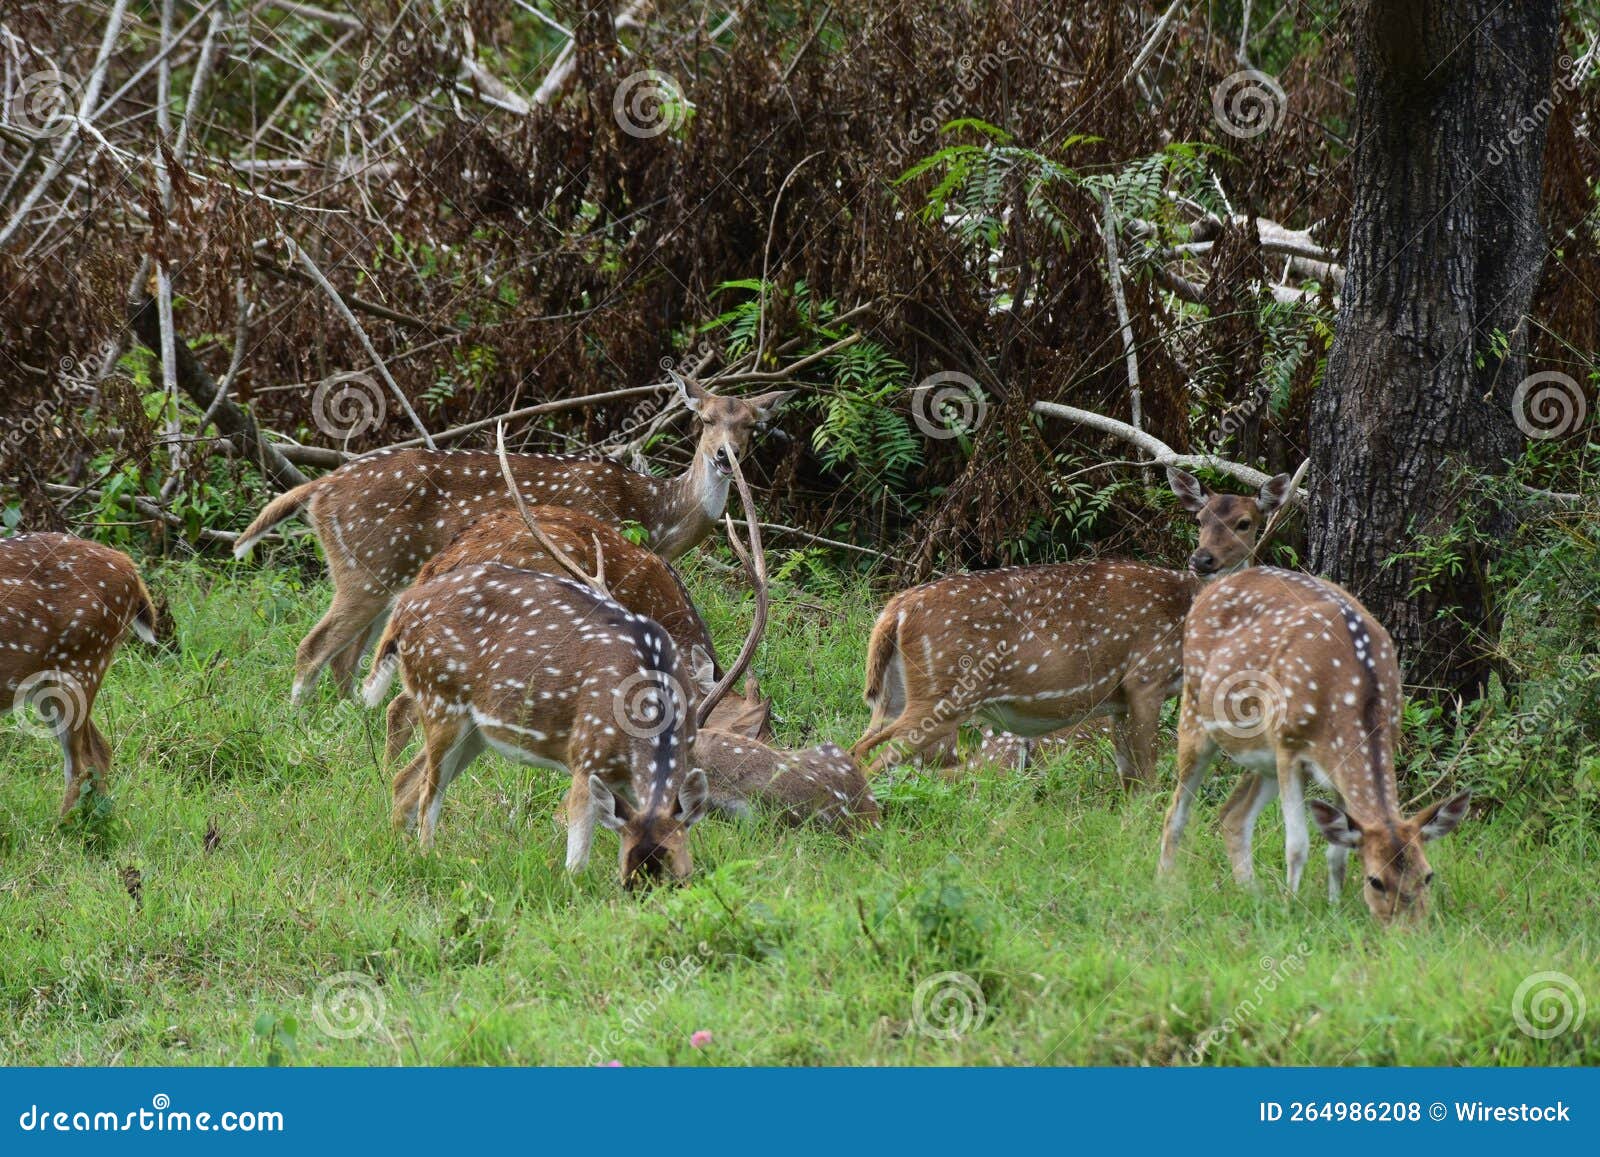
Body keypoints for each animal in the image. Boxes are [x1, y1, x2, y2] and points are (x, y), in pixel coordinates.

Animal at [0, 533, 159, 816]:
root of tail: (130, 568)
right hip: (51, 682)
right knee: (101, 751)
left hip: (82, 662)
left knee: (83, 762)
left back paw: (63, 825)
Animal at [233, 376, 791, 704]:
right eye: (704, 419)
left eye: (751, 426)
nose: (723, 456)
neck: (655, 515)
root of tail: (319, 488)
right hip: (366, 568)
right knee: (315, 646)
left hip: (381, 578)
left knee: (346, 658)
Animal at [1156, 565, 1472, 924]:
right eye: (1375, 880)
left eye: (1428, 876)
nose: (1409, 929)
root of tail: (1213, 587)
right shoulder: (1289, 749)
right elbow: (1297, 844)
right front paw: (1291, 906)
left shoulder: (1333, 767)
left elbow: (1338, 850)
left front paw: (1333, 908)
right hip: (1195, 713)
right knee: (1176, 811)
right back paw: (1165, 884)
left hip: (1263, 757)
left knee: (1232, 815)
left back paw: (1251, 892)